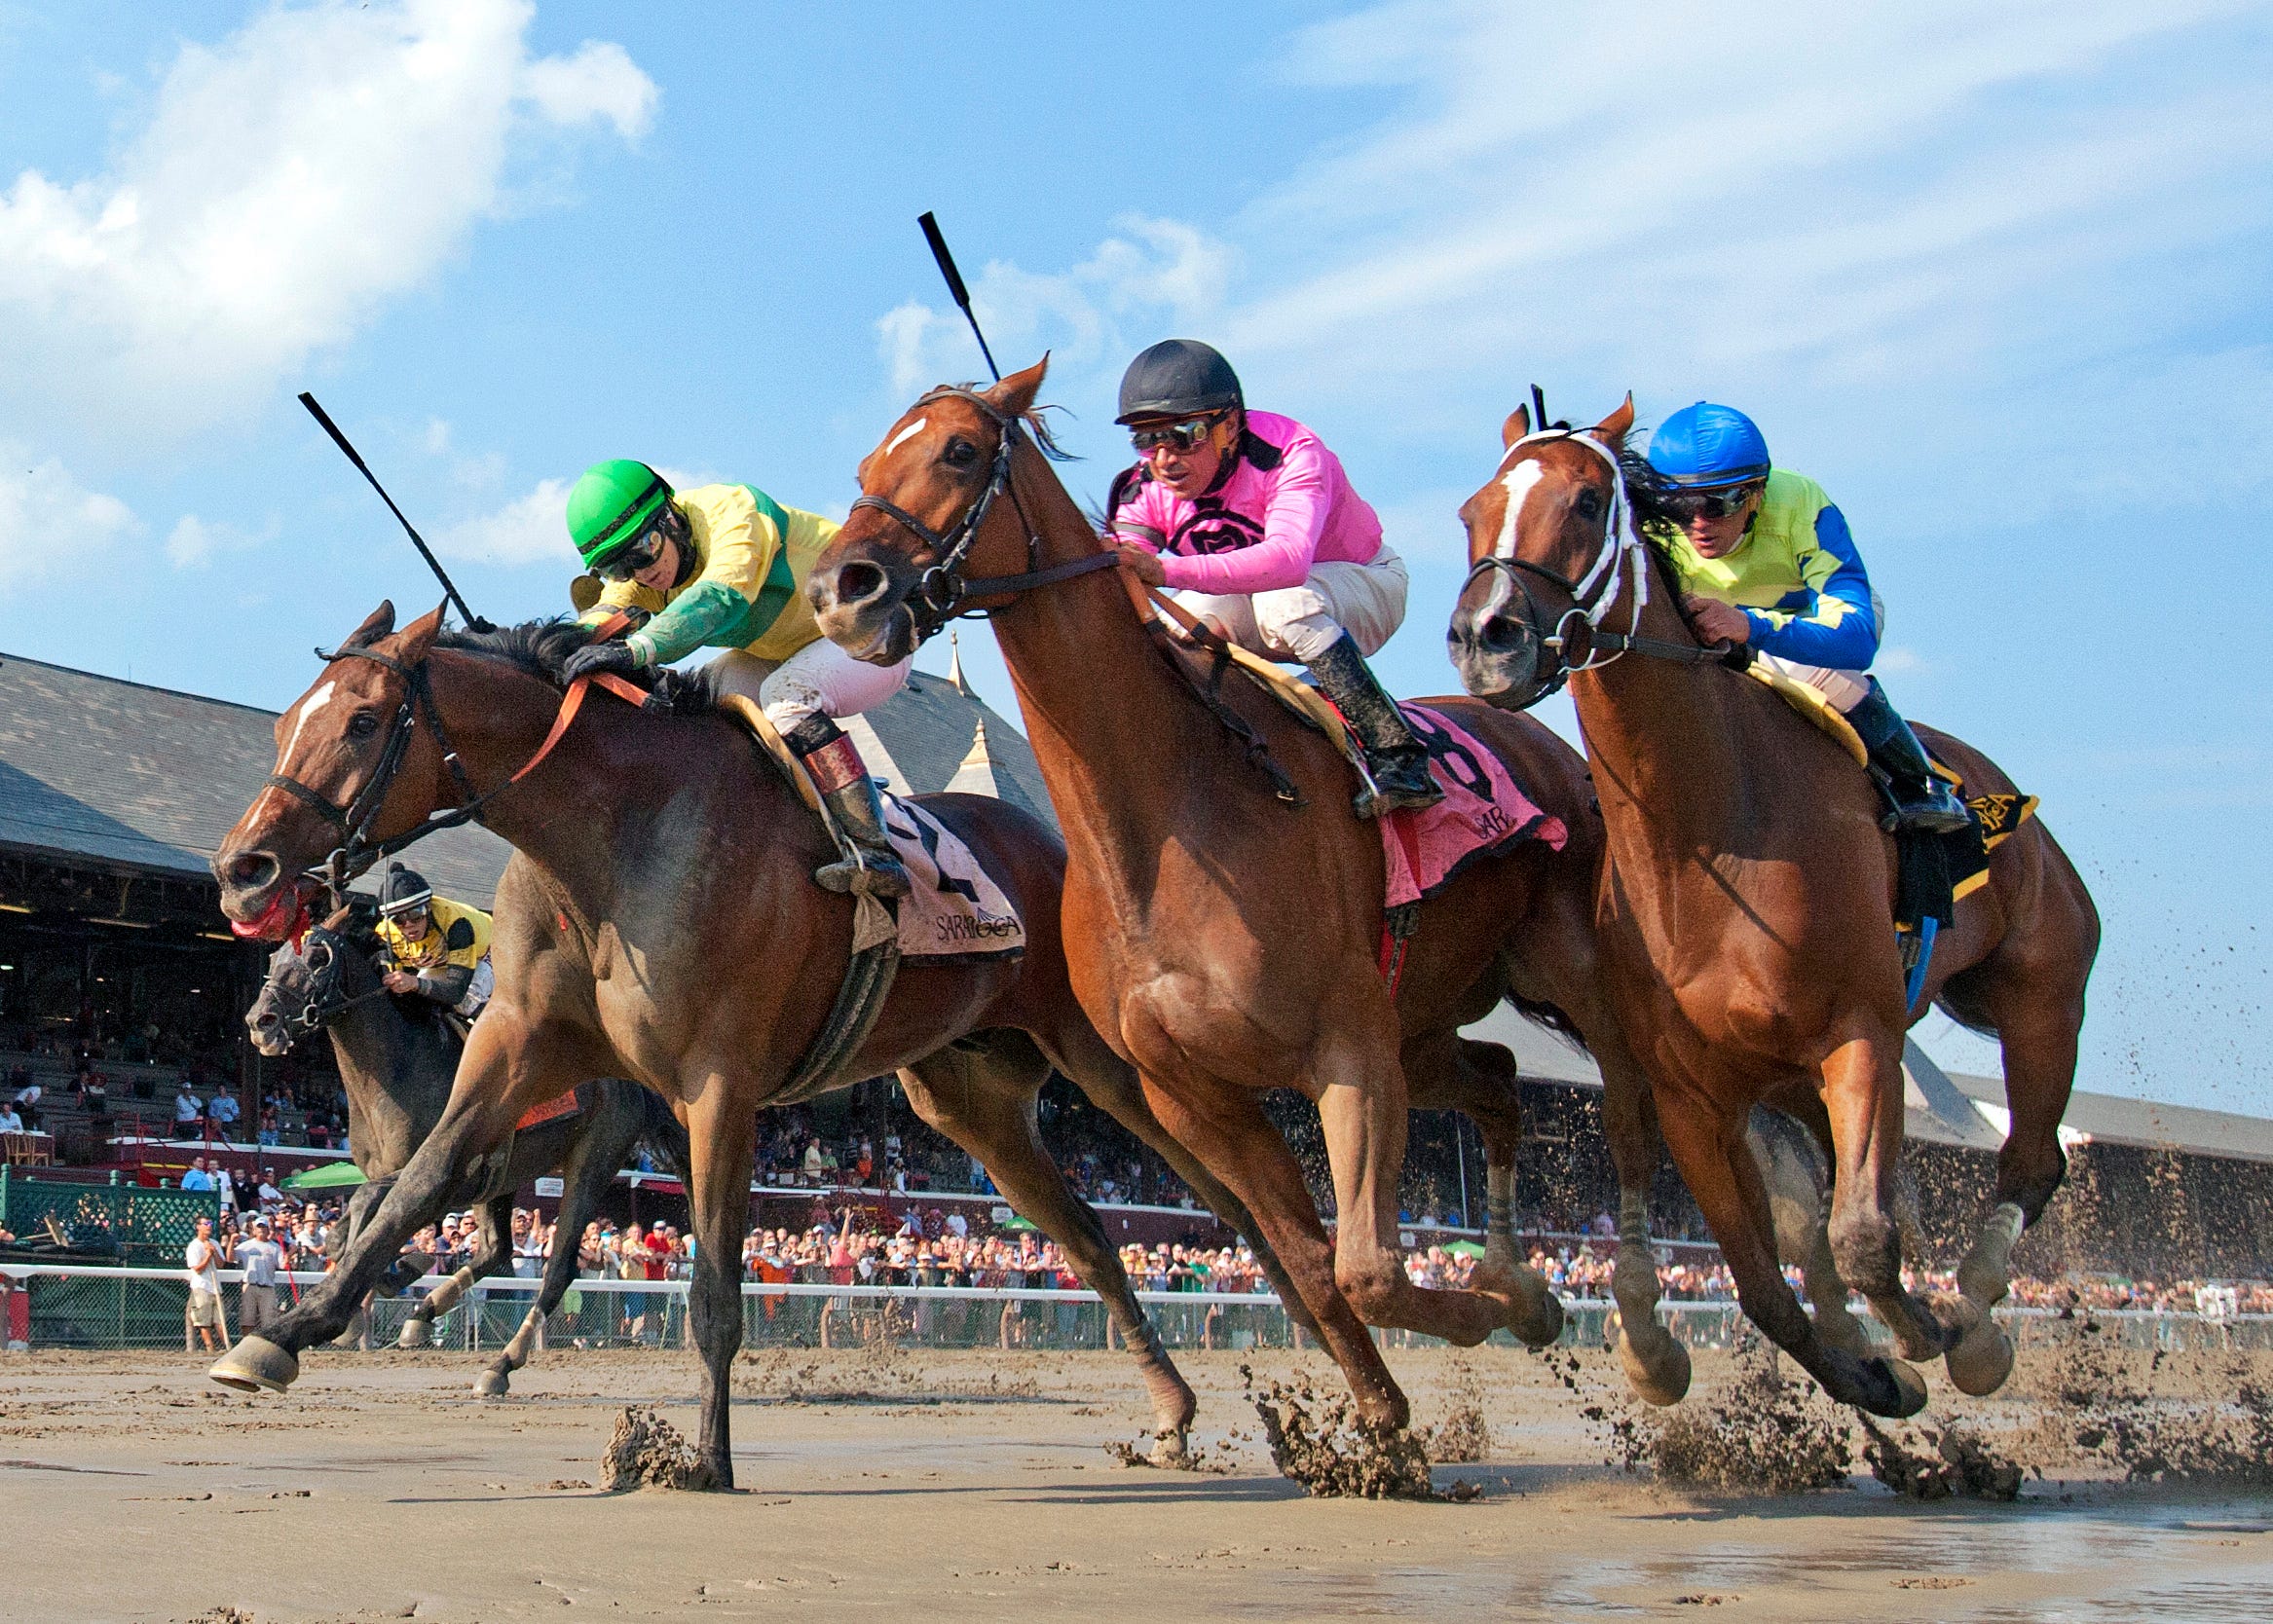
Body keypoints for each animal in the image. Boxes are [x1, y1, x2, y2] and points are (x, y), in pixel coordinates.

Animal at [246, 904, 686, 1392]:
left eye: (318, 958)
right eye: (275, 956)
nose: (261, 1023)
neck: (400, 1066)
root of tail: (630, 1077)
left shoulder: (448, 1177)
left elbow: (361, 1210)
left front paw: (402, 1268)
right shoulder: (416, 1175)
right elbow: (346, 1235)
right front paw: (394, 1277)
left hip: (592, 1159)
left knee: (557, 1270)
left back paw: (502, 1364)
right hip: (505, 1176)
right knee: (497, 1251)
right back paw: (422, 1316)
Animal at [804, 358, 1695, 1433]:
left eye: (960, 451)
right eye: (866, 463)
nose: (841, 591)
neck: (1162, 820)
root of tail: (1542, 739)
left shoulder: (1347, 1049)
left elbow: (1366, 1265)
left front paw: (1478, 1319)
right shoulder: (1192, 1089)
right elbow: (1310, 1260)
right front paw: (1387, 1421)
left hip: (1569, 977)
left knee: (1628, 1112)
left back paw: (1643, 1338)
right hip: (1423, 1022)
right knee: (1495, 1078)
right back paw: (1522, 1280)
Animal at [1444, 397, 2100, 1415]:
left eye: (1589, 501)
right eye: (1472, 511)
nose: (1488, 637)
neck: (1707, 837)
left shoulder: (1860, 1033)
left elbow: (1865, 1238)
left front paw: (1926, 1337)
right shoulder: (1692, 1091)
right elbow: (1764, 1281)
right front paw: (1872, 1374)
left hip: (2040, 996)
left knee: (2032, 1161)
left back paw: (1979, 1320)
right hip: (1794, 1079)